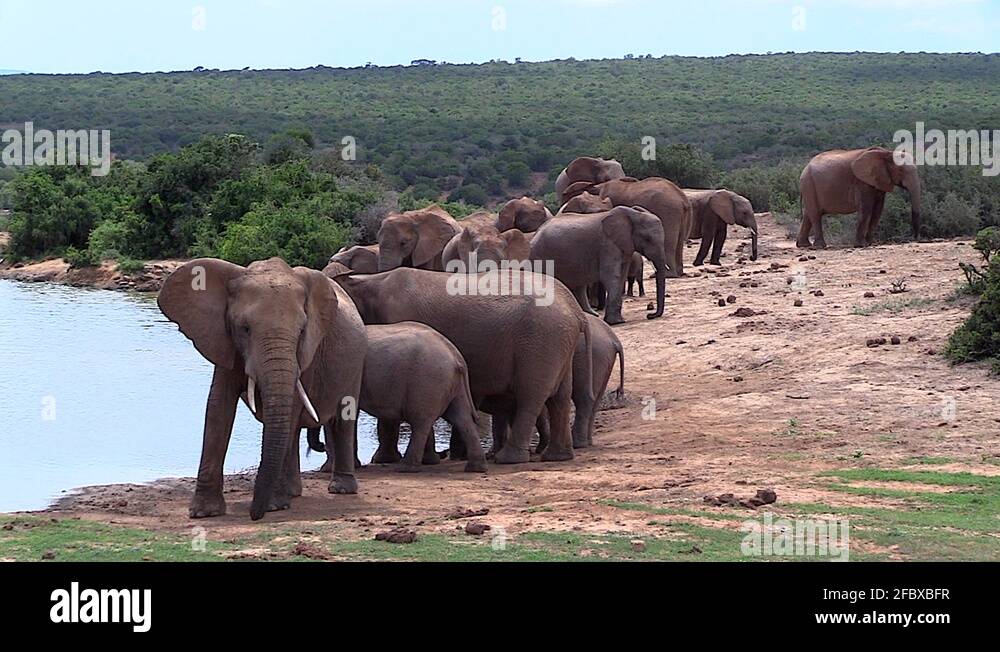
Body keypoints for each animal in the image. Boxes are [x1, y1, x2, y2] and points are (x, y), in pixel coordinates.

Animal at [158, 257, 367, 521]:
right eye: (245, 328)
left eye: (301, 331)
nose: (253, 515)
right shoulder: (224, 341)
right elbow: (218, 407)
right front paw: (204, 512)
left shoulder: (307, 351)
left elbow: (290, 407)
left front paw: (274, 506)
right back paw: (293, 492)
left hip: (356, 365)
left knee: (341, 419)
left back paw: (339, 488)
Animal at [306, 322, 486, 473]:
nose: (320, 446)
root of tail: (456, 355)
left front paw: (326, 470)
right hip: (449, 383)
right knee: (461, 418)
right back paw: (475, 468)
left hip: (428, 380)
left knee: (421, 421)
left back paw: (406, 468)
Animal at [327, 266, 592, 465]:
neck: (366, 280)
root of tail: (576, 310)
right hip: (558, 343)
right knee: (559, 397)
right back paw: (557, 456)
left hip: (541, 341)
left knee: (531, 396)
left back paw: (508, 459)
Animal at [530, 206, 667, 325]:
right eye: (647, 239)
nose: (649, 315)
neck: (634, 215)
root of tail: (536, 233)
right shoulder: (608, 245)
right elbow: (611, 277)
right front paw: (616, 322)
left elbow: (621, 276)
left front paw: (617, 320)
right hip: (541, 257)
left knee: (580, 285)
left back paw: (592, 315)